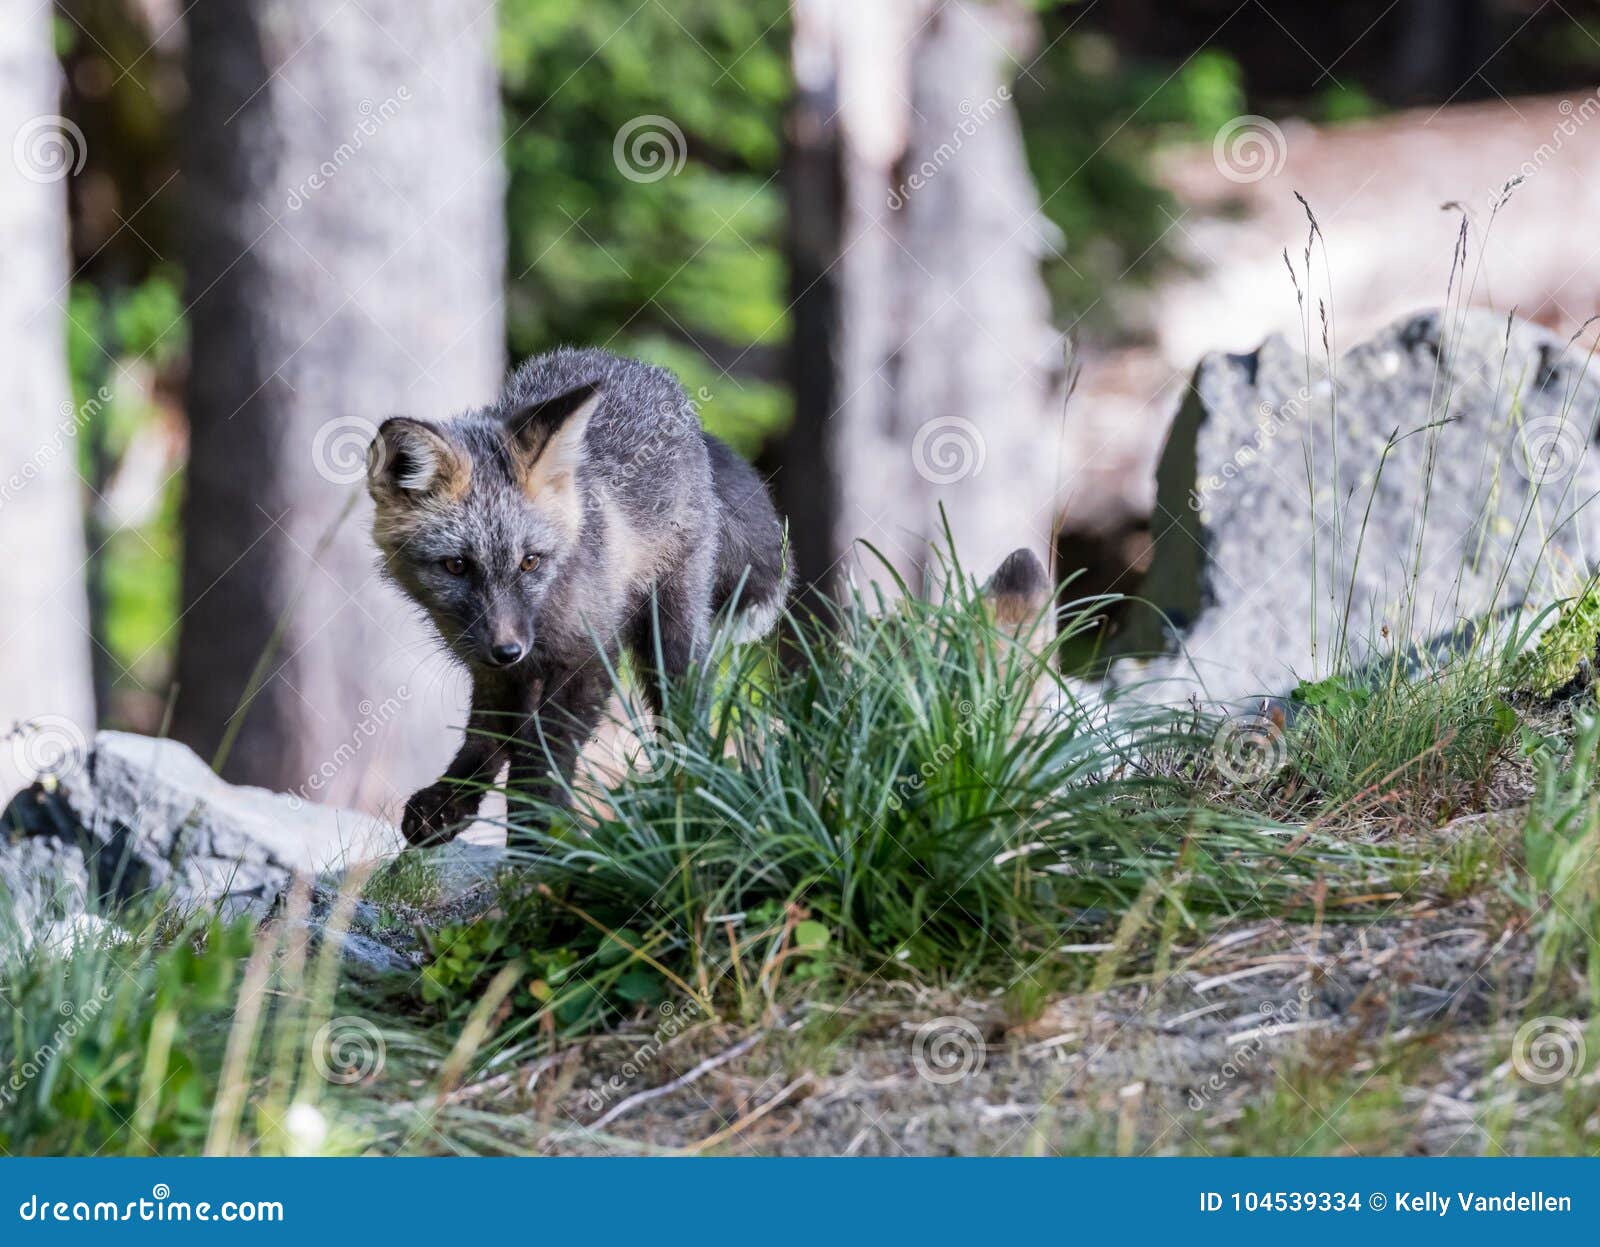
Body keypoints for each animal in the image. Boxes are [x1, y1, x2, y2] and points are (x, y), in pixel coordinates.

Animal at [365, 346, 790, 847]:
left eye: (530, 561)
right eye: (456, 566)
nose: (508, 649)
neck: (545, 612)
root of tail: (633, 365)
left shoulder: (589, 657)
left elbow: (543, 759)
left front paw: (537, 837)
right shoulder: (489, 665)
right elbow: (490, 735)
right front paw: (454, 800)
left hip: (669, 629)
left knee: (685, 705)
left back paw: (688, 798)